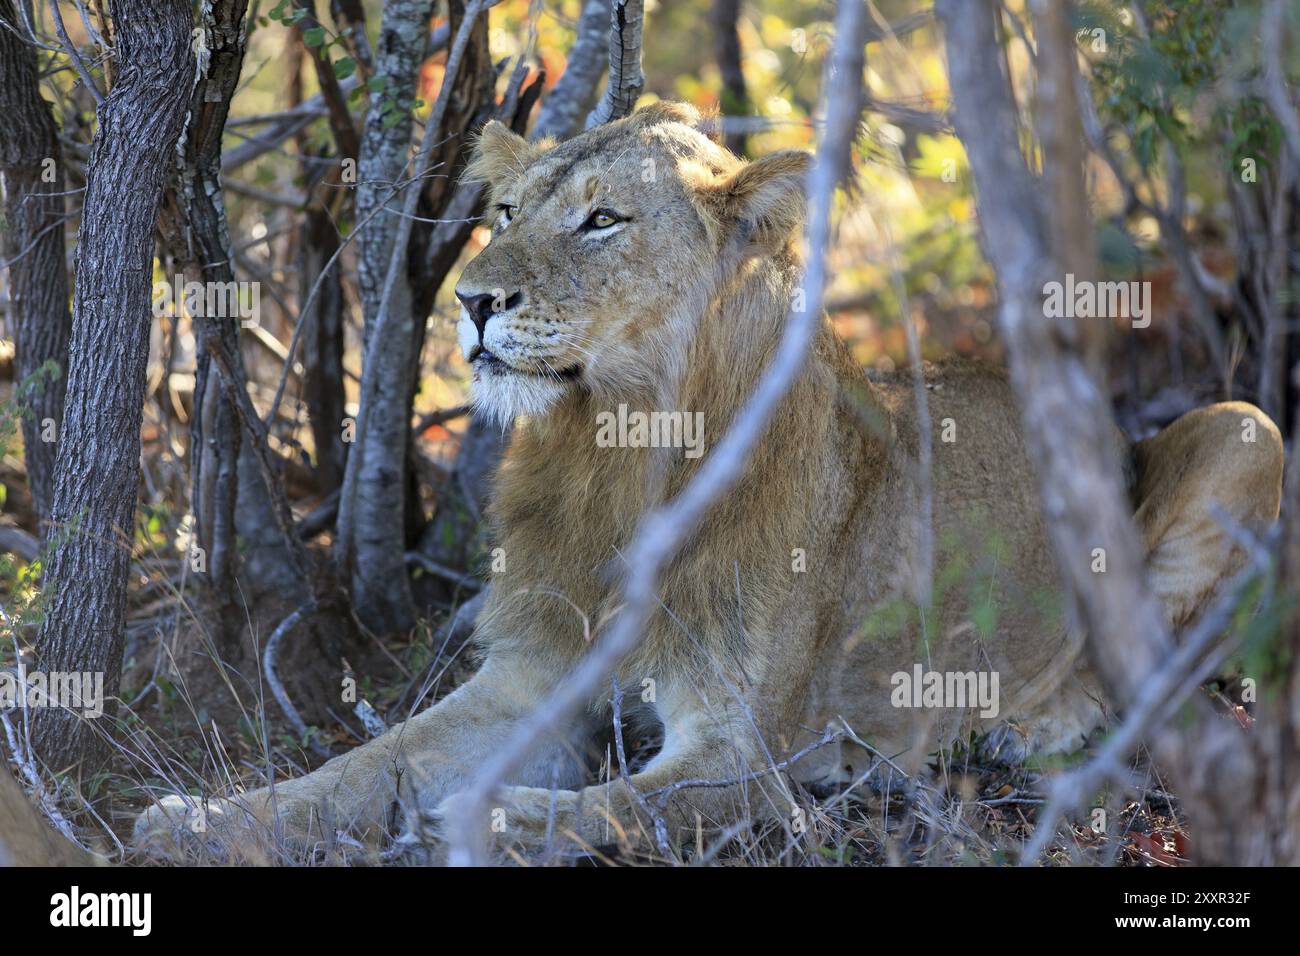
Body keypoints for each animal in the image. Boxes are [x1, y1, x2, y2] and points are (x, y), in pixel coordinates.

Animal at [135, 101, 1283, 862]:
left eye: (601, 221)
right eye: (502, 210)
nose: (469, 300)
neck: (613, 445)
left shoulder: (748, 757)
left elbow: (616, 803)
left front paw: (495, 818)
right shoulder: (531, 680)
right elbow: (366, 764)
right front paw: (206, 819)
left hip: (1245, 427)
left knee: (1166, 676)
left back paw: (1030, 723)